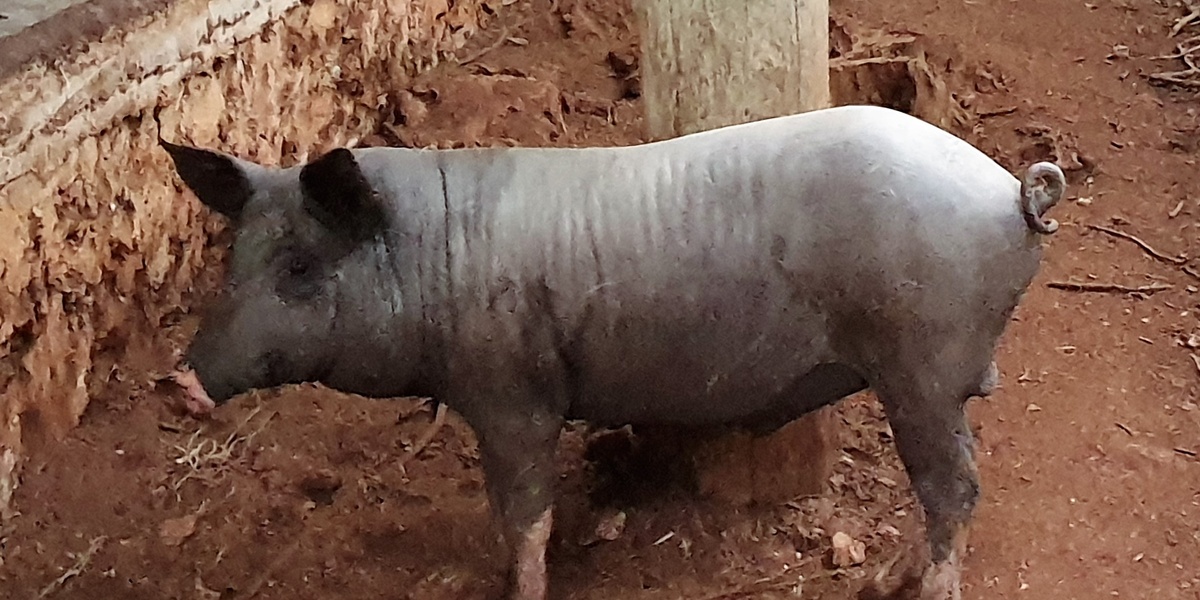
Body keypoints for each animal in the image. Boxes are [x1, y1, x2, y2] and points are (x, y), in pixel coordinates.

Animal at [160, 104, 1065, 600]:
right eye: (234, 258)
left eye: (300, 267)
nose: (179, 381)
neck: (432, 258)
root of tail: (1011, 194)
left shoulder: (512, 393)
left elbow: (524, 512)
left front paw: (519, 587)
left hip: (921, 367)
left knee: (955, 489)